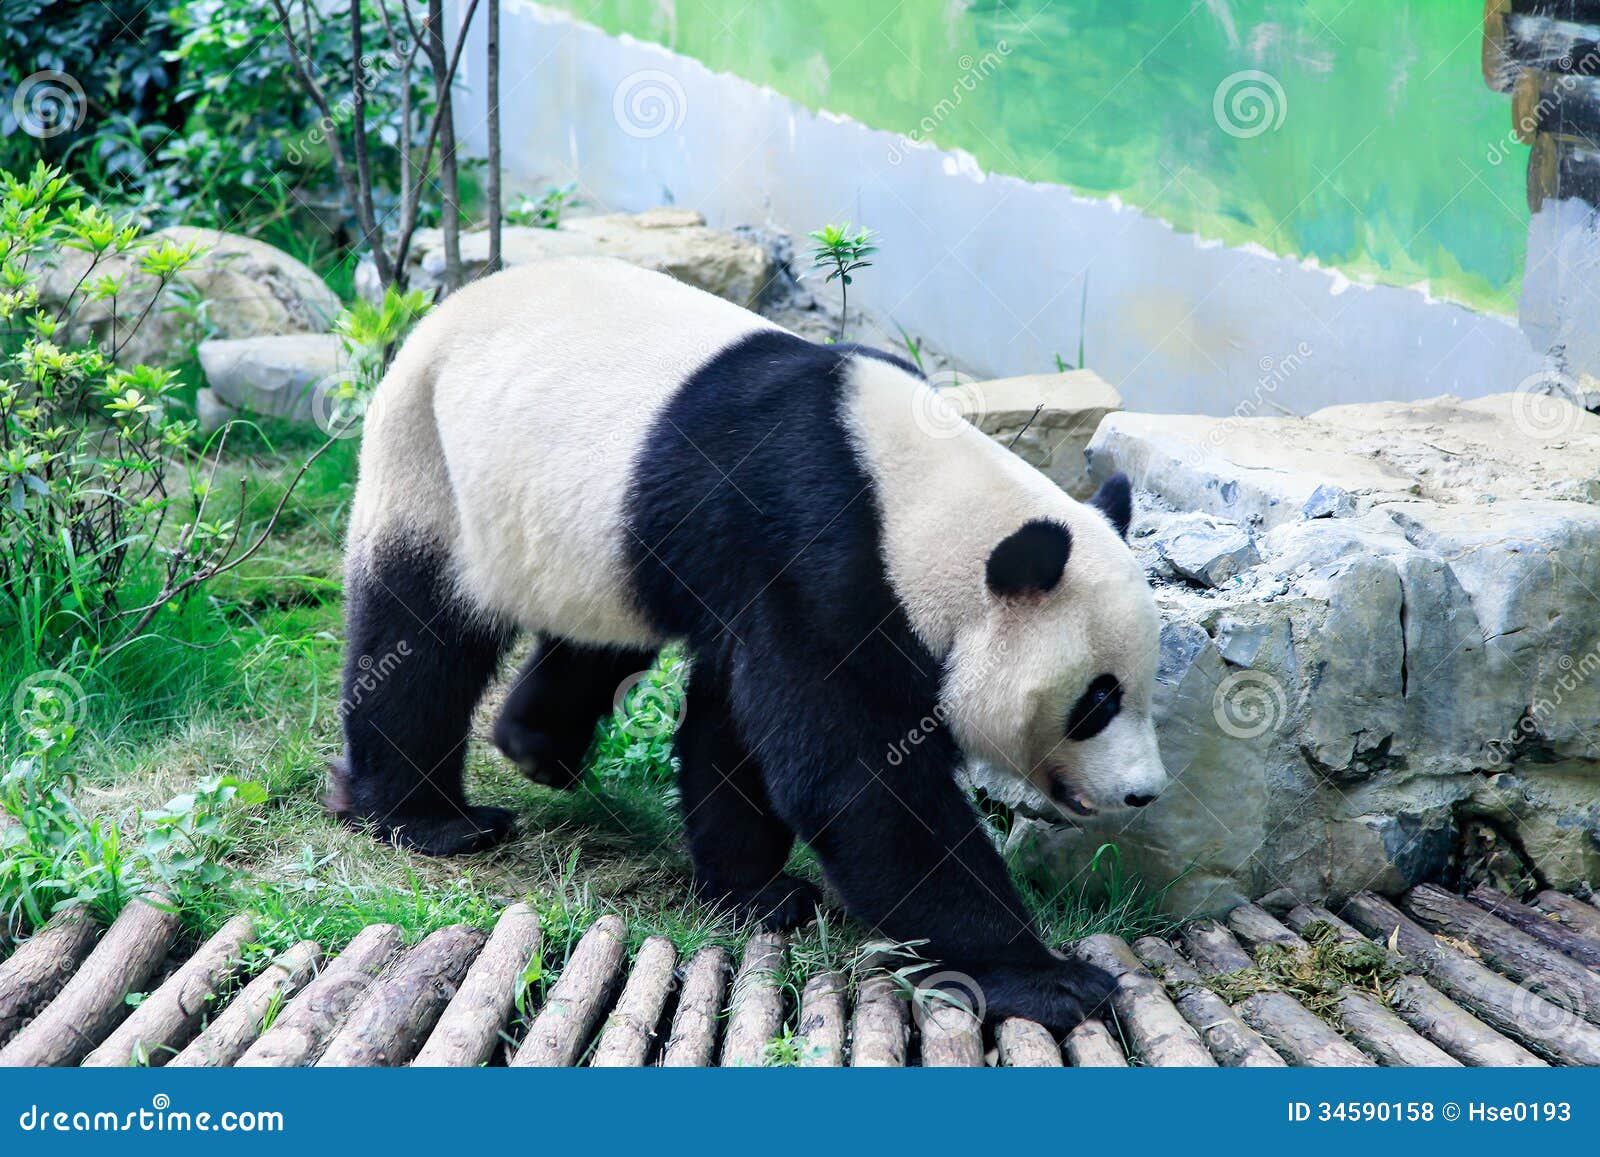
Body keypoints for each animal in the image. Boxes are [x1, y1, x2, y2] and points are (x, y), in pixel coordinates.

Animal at [330, 255, 1169, 1030]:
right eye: (1097, 699)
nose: (1144, 792)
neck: (918, 502)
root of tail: (439, 313)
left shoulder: (771, 578)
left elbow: (736, 727)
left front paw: (755, 890)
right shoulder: (818, 550)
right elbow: (856, 780)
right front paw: (1052, 978)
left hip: (595, 537)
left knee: (601, 635)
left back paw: (537, 746)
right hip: (431, 461)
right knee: (418, 639)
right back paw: (431, 818)